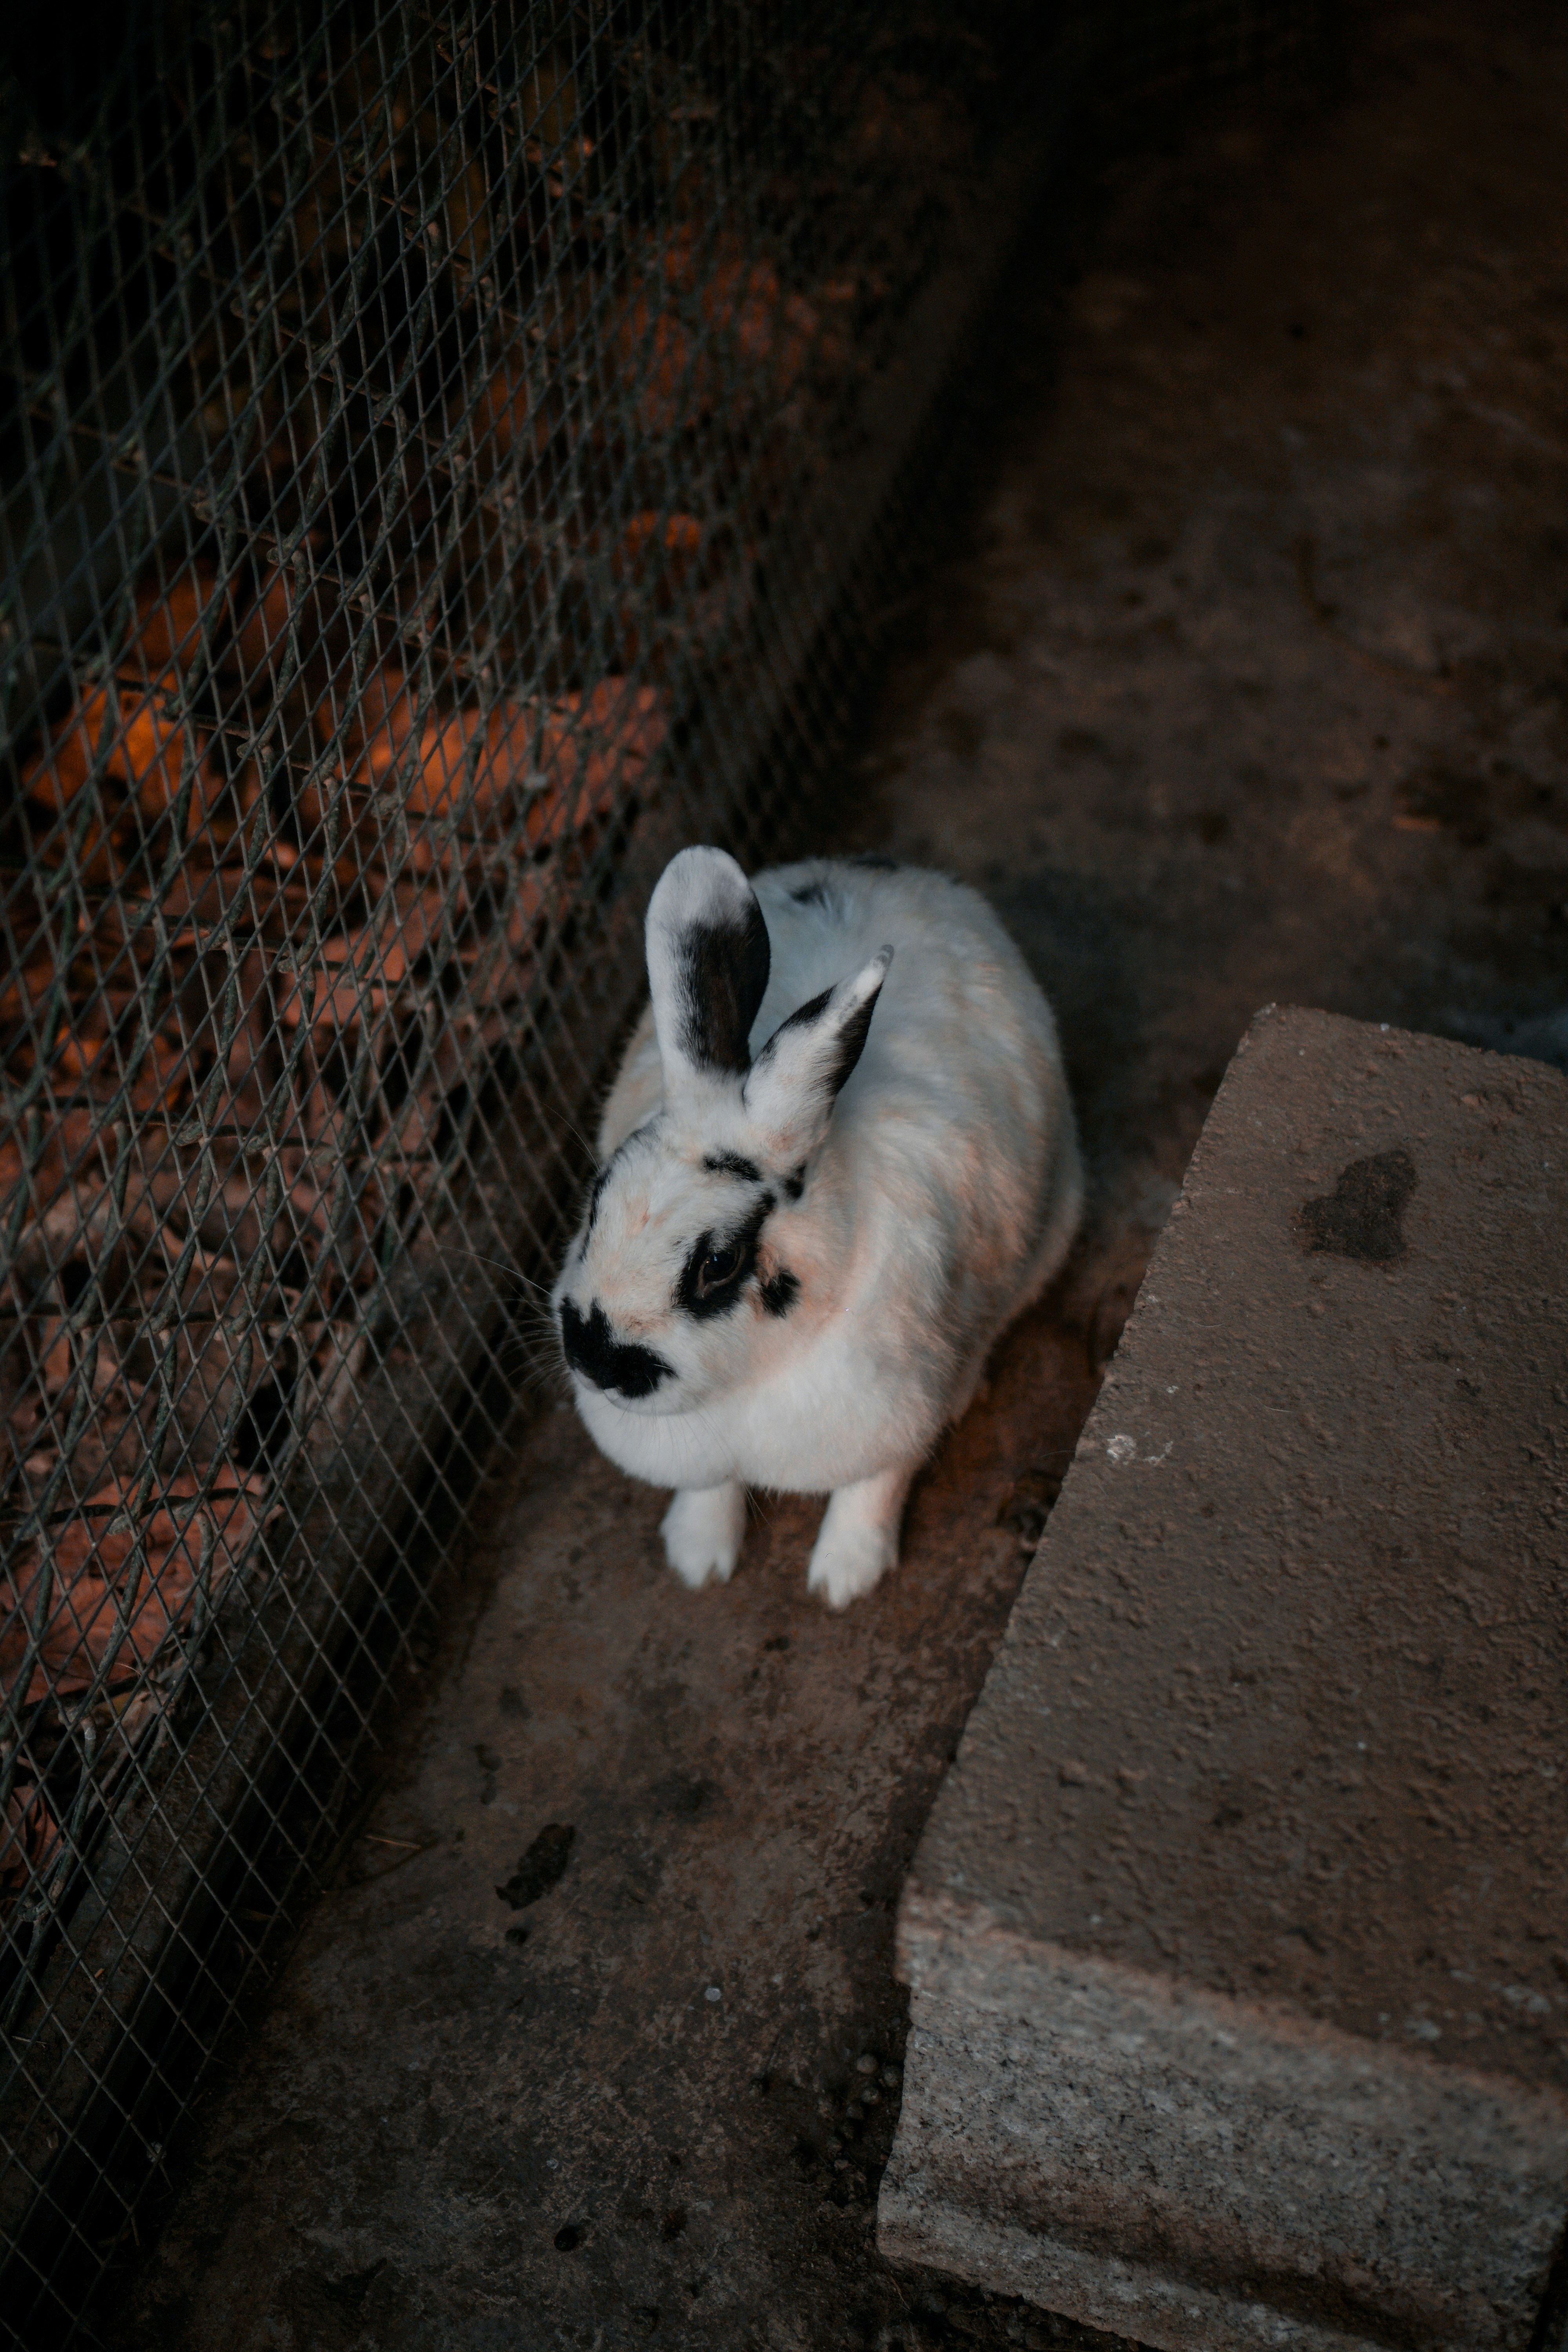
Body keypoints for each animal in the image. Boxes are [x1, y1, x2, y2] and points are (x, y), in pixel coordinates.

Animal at [551, 847, 1082, 1607]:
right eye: (599, 1196)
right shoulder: (701, 1453)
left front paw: (844, 1578)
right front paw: (697, 1558)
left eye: (719, 1264)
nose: (596, 1359)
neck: (749, 1380)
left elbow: (872, 1490)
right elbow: (709, 1489)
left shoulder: (893, 1417)